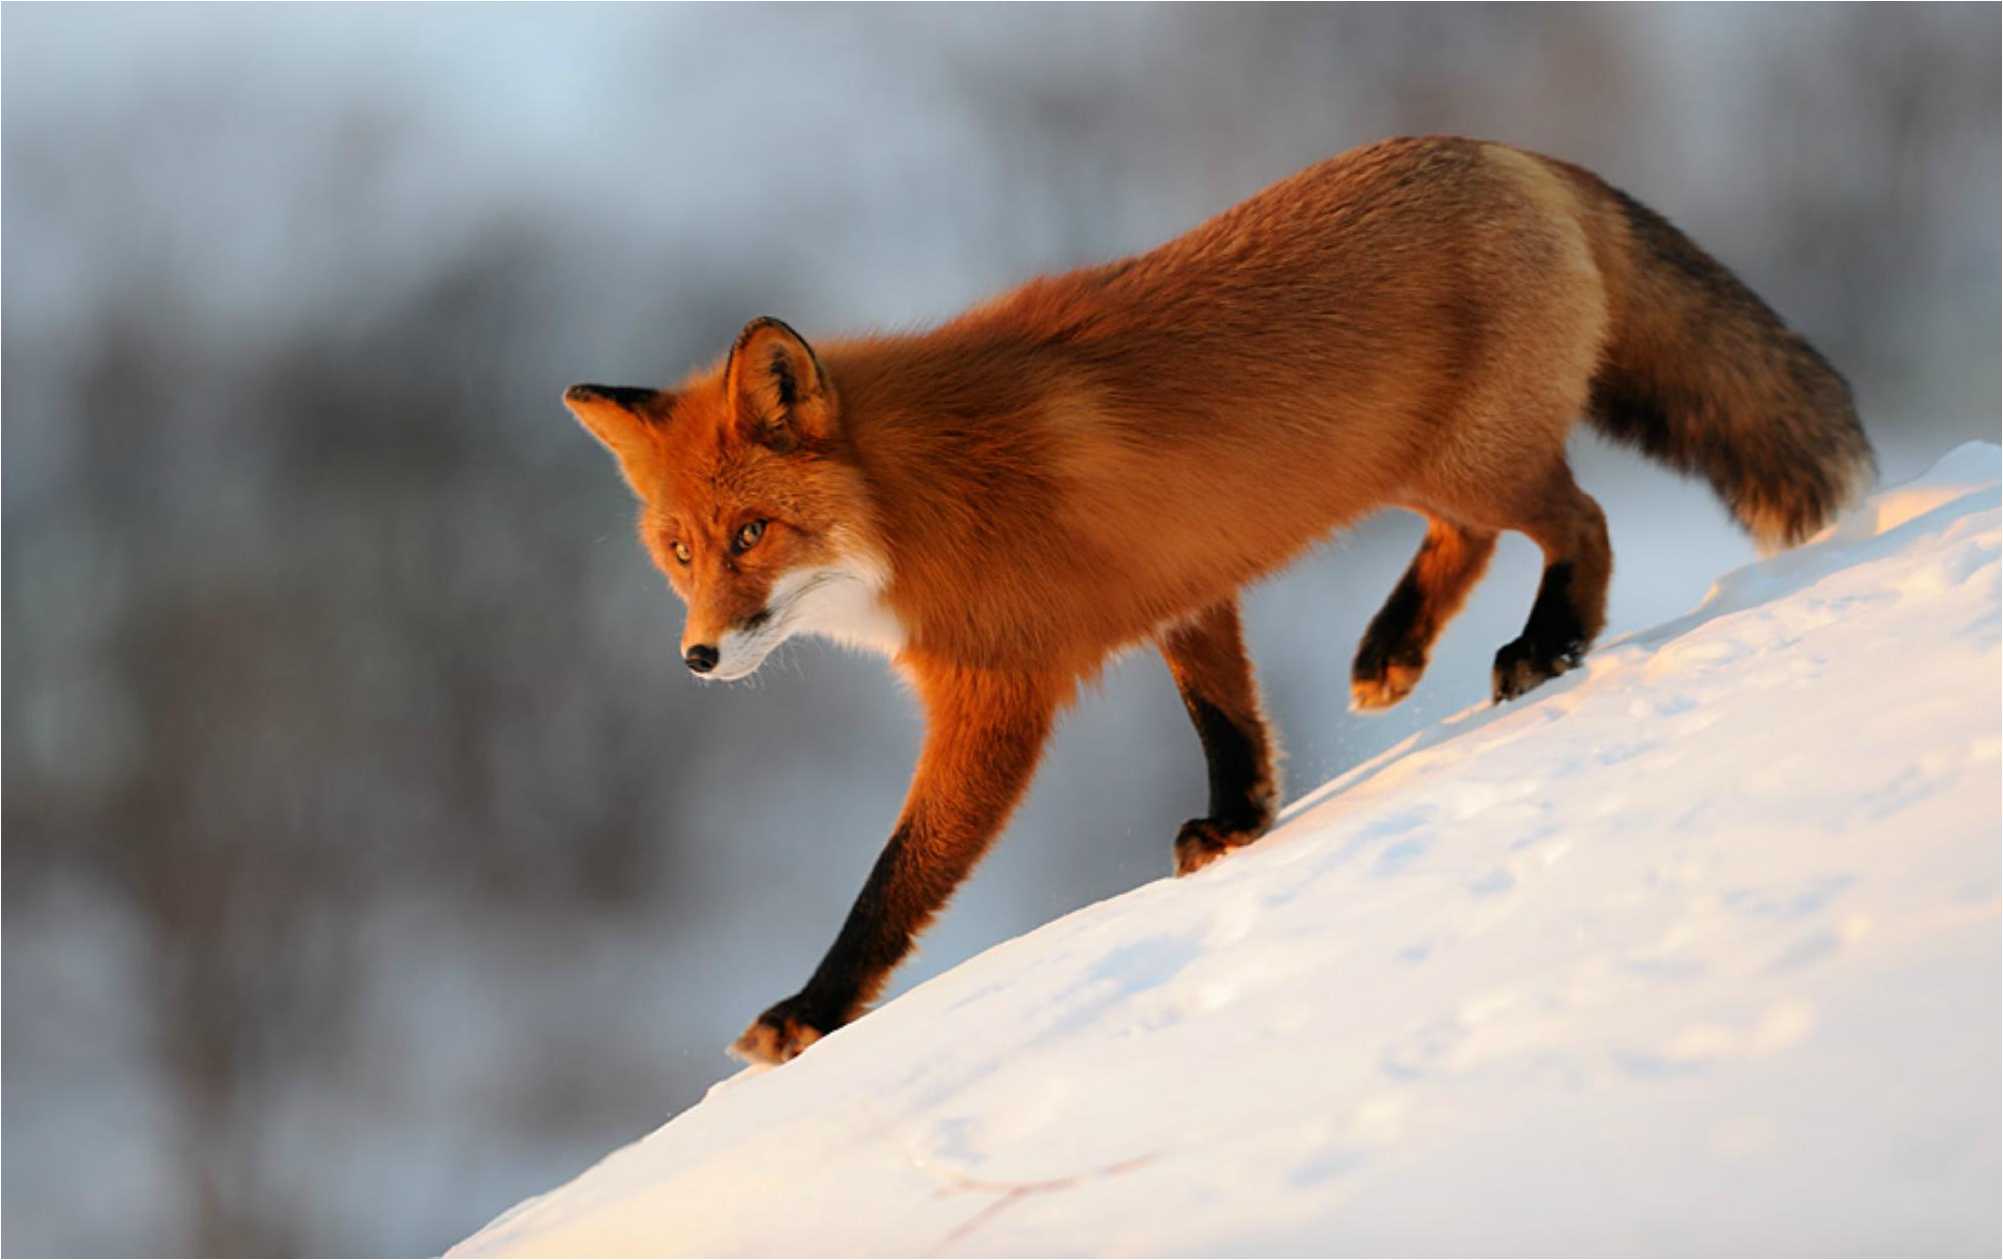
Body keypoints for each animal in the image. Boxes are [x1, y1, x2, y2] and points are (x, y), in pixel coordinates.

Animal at [562, 135, 1874, 1065]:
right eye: (677, 552)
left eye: (751, 534)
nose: (696, 657)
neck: (913, 499)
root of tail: (1508, 150)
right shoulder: (1179, 593)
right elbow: (1226, 723)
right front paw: (1238, 826)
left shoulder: (996, 695)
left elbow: (895, 878)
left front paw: (810, 1013)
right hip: (1425, 466)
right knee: (1471, 539)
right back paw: (1391, 650)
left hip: (1467, 460)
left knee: (1581, 523)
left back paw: (1545, 643)